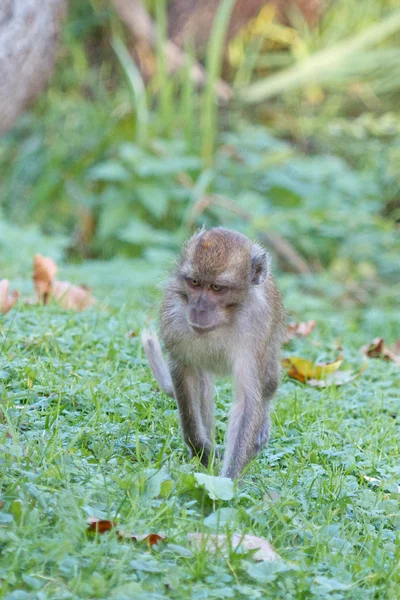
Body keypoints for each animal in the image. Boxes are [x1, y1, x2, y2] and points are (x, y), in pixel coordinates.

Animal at [141, 227, 284, 480]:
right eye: (195, 283)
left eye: (217, 288)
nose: (198, 309)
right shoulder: (174, 317)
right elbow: (185, 374)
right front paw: (200, 448)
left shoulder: (256, 328)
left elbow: (248, 399)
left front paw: (228, 481)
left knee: (268, 382)